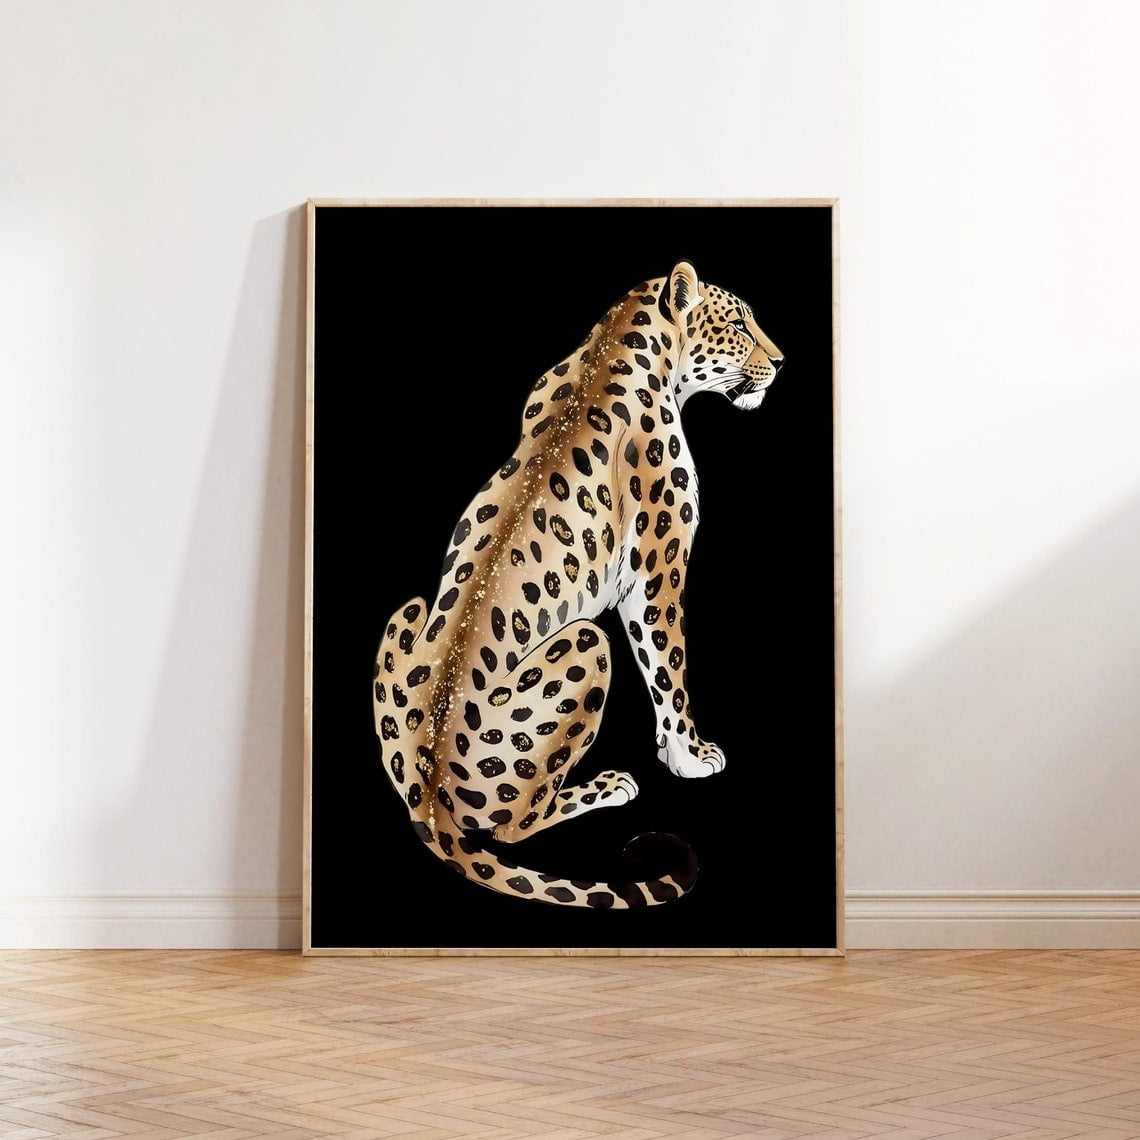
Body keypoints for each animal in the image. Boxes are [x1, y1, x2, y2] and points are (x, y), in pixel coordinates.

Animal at [373, 260, 783, 908]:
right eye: (739, 324)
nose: (782, 361)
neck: (618, 344)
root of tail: (426, 792)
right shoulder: (657, 567)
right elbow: (668, 665)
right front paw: (689, 757)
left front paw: (677, 751)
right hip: (588, 644)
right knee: (512, 826)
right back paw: (609, 785)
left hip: (406, 611)